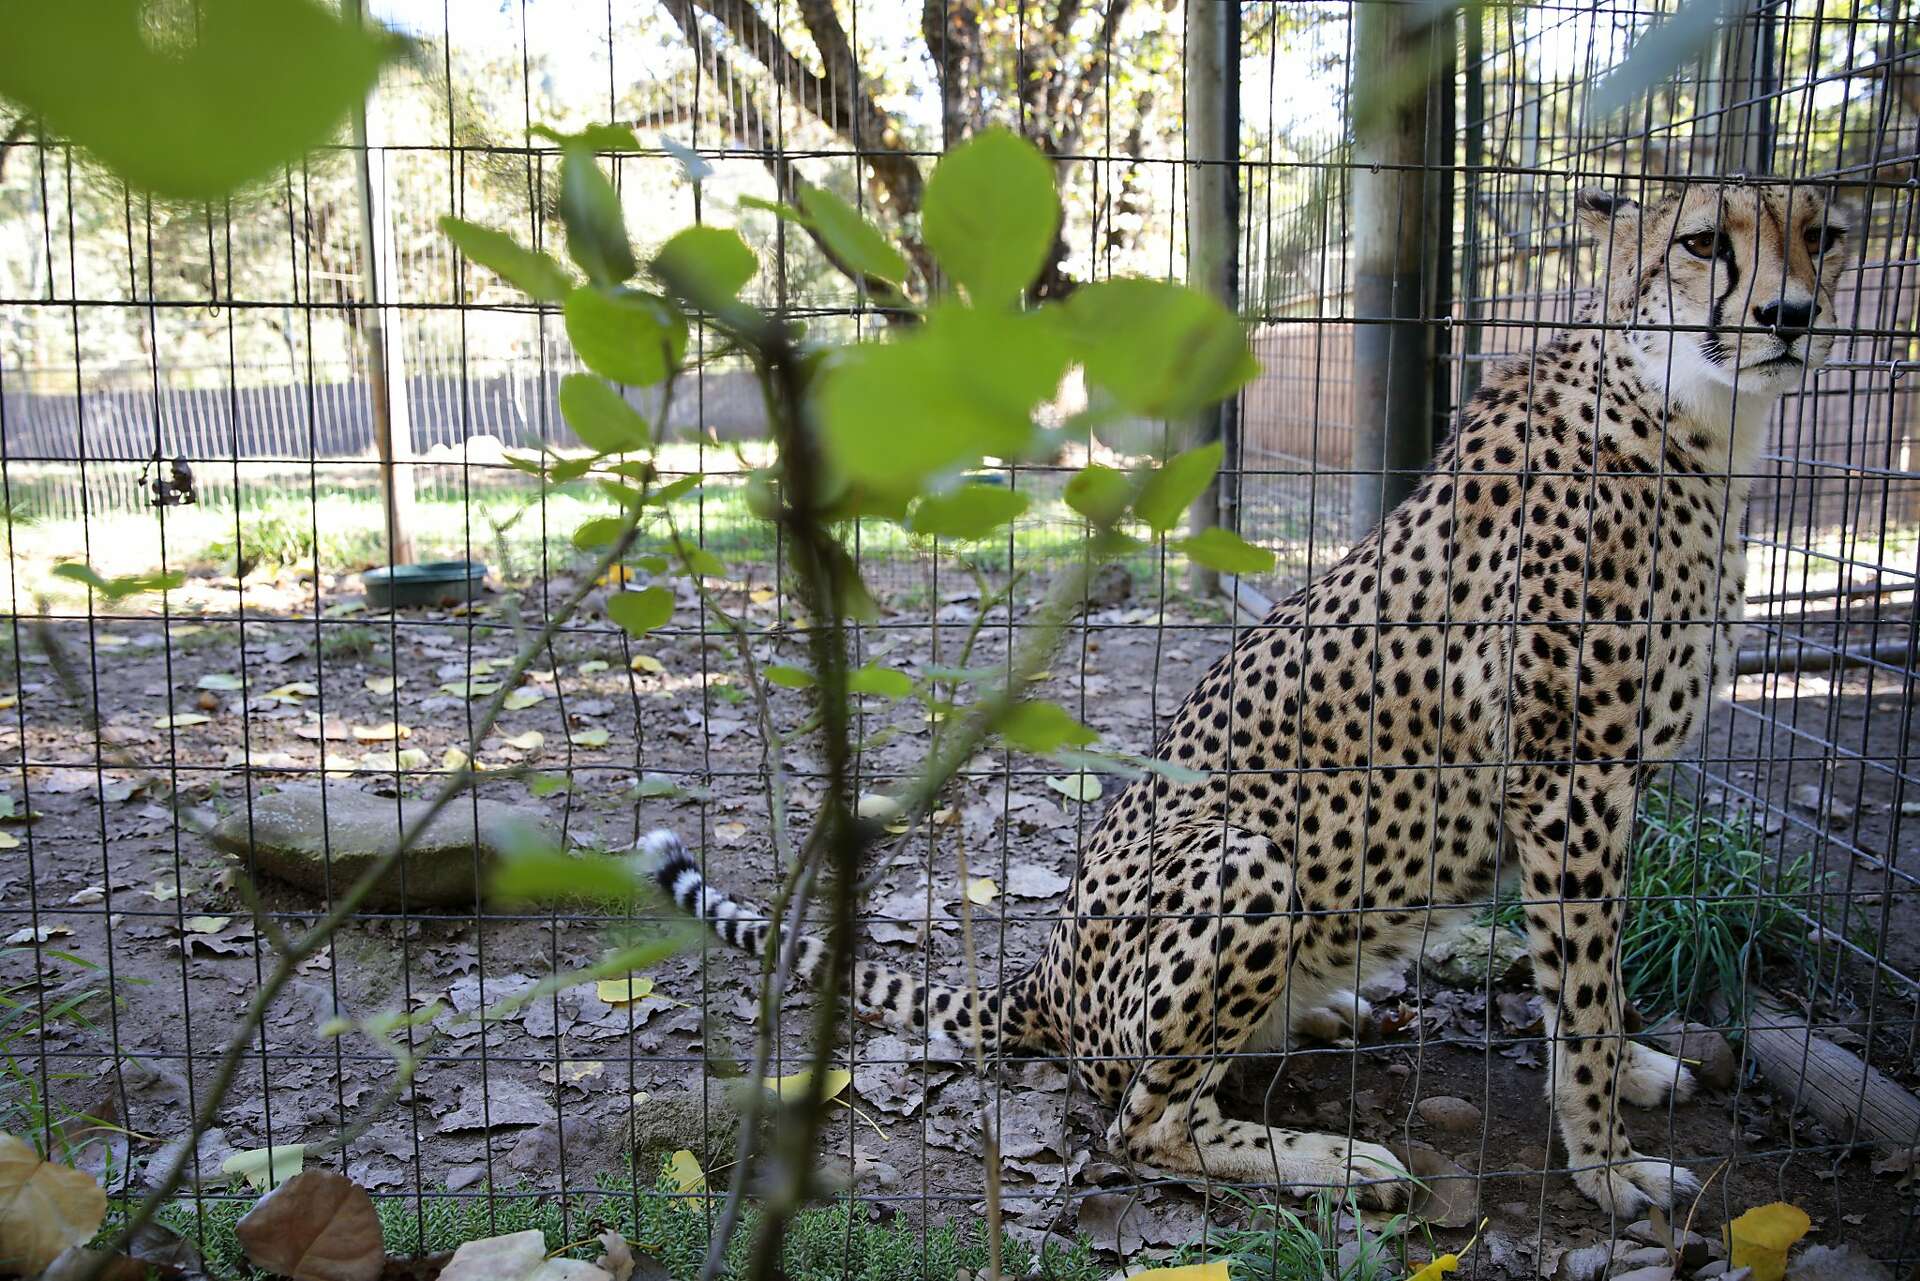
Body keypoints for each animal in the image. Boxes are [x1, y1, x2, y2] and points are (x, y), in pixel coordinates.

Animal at [641, 180, 1851, 1218]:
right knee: (1140, 1127)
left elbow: (1582, 983)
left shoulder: (1601, 792)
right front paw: (1606, 1165)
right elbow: (1587, 989)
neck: (1686, 412)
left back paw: (1328, 1004)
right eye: (1702, 242)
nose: (1791, 317)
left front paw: (1635, 1074)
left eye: (1823, 234)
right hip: (1247, 858)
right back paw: (1331, 1160)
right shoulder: (1569, 784)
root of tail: (1045, 976)